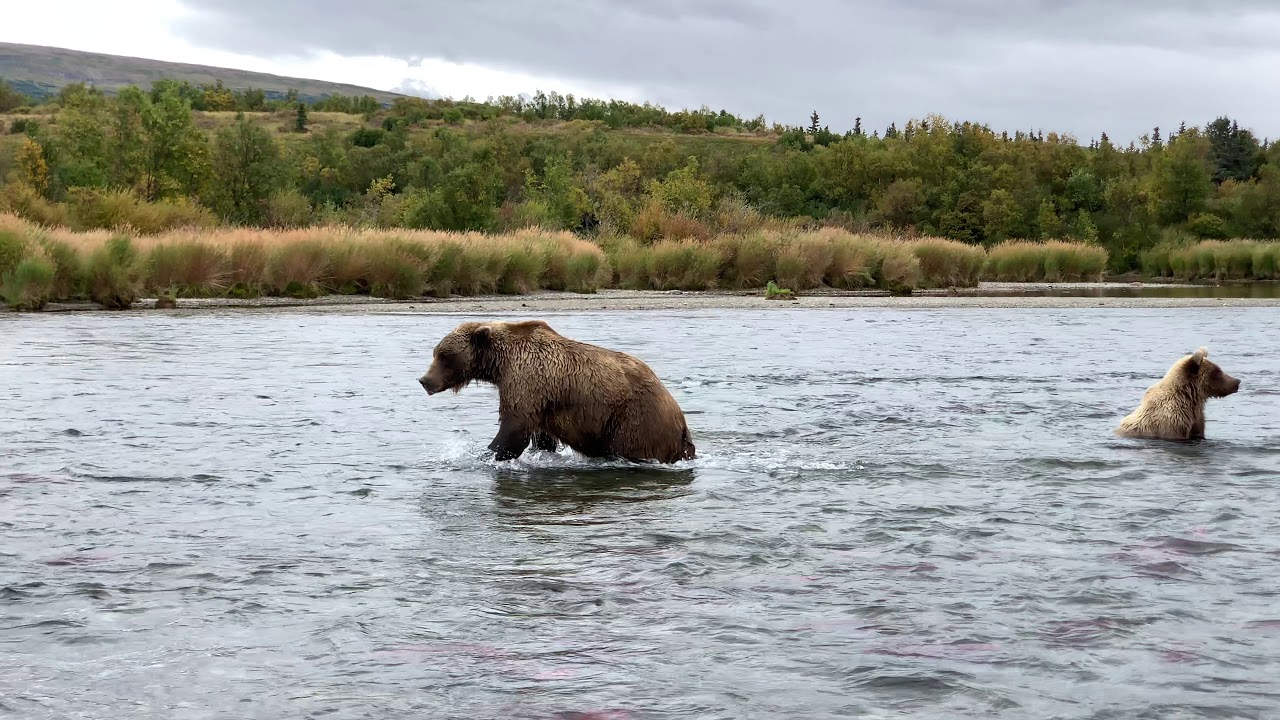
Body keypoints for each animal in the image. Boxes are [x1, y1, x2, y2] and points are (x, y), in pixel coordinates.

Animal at [418, 319, 696, 464]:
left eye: (444, 355)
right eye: (436, 352)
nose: (424, 380)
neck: (500, 364)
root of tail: (681, 421)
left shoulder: (526, 382)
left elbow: (513, 428)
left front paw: (488, 453)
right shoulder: (542, 398)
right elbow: (541, 436)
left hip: (635, 420)